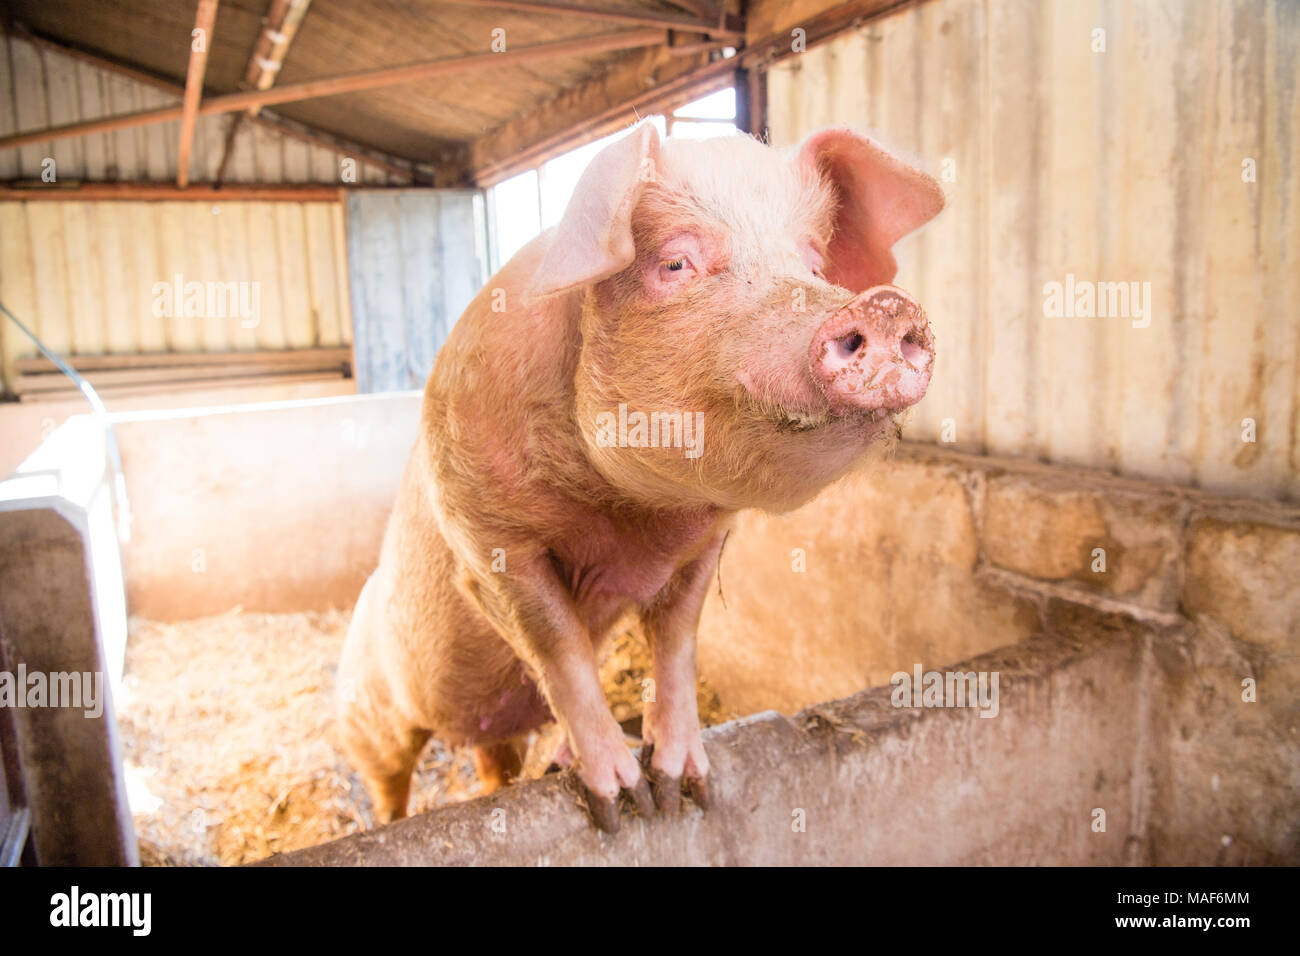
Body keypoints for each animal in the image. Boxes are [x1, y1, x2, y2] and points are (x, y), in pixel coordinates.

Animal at [336, 123, 944, 832]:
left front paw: (682, 793)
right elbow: (562, 651)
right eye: (675, 264)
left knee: (492, 761)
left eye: (815, 265)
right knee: (389, 778)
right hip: (366, 721)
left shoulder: (706, 544)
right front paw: (620, 806)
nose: (884, 305)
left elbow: (678, 643)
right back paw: (395, 823)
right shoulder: (487, 541)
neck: (633, 515)